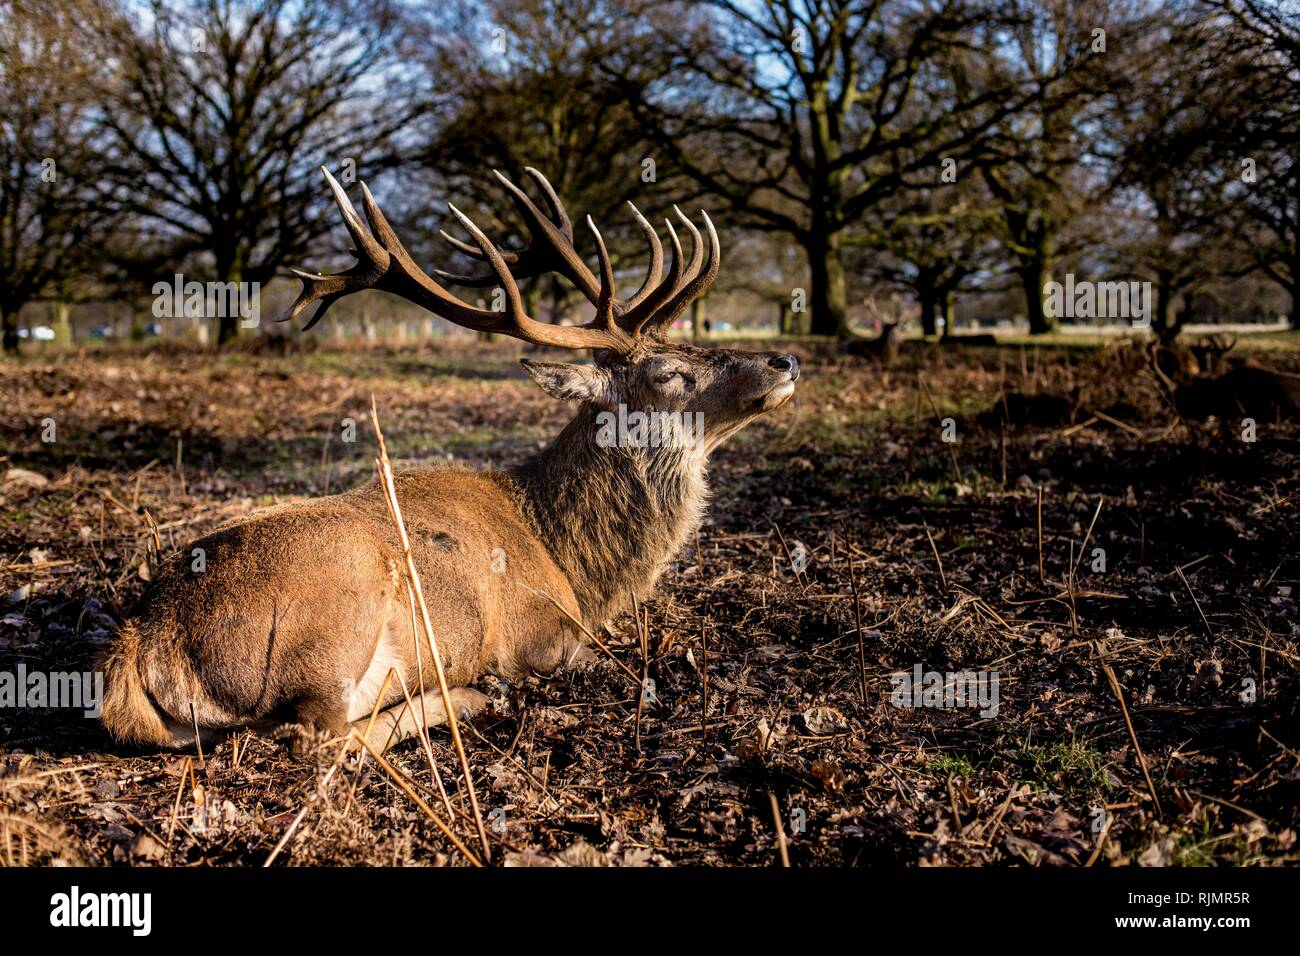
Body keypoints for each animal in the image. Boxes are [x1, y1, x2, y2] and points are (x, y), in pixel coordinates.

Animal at [99, 167, 801, 753]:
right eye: (670, 373)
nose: (785, 360)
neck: (572, 560)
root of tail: (140, 645)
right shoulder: (543, 631)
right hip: (334, 621)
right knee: (321, 738)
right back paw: (470, 694)